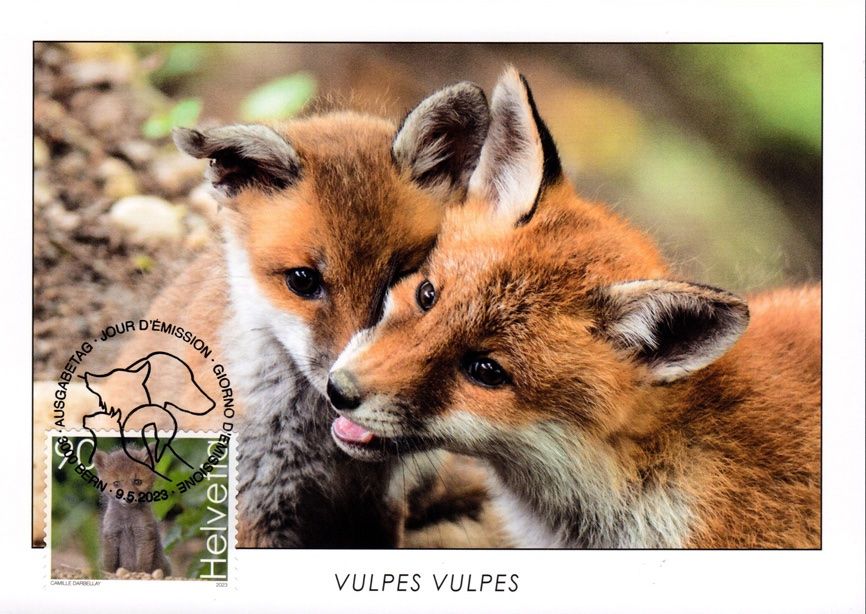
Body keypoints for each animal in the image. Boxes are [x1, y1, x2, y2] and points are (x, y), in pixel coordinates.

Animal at [97, 83, 493, 547]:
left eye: (406, 279)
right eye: (303, 280)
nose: (342, 389)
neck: (330, 455)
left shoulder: (380, 502)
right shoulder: (254, 504)